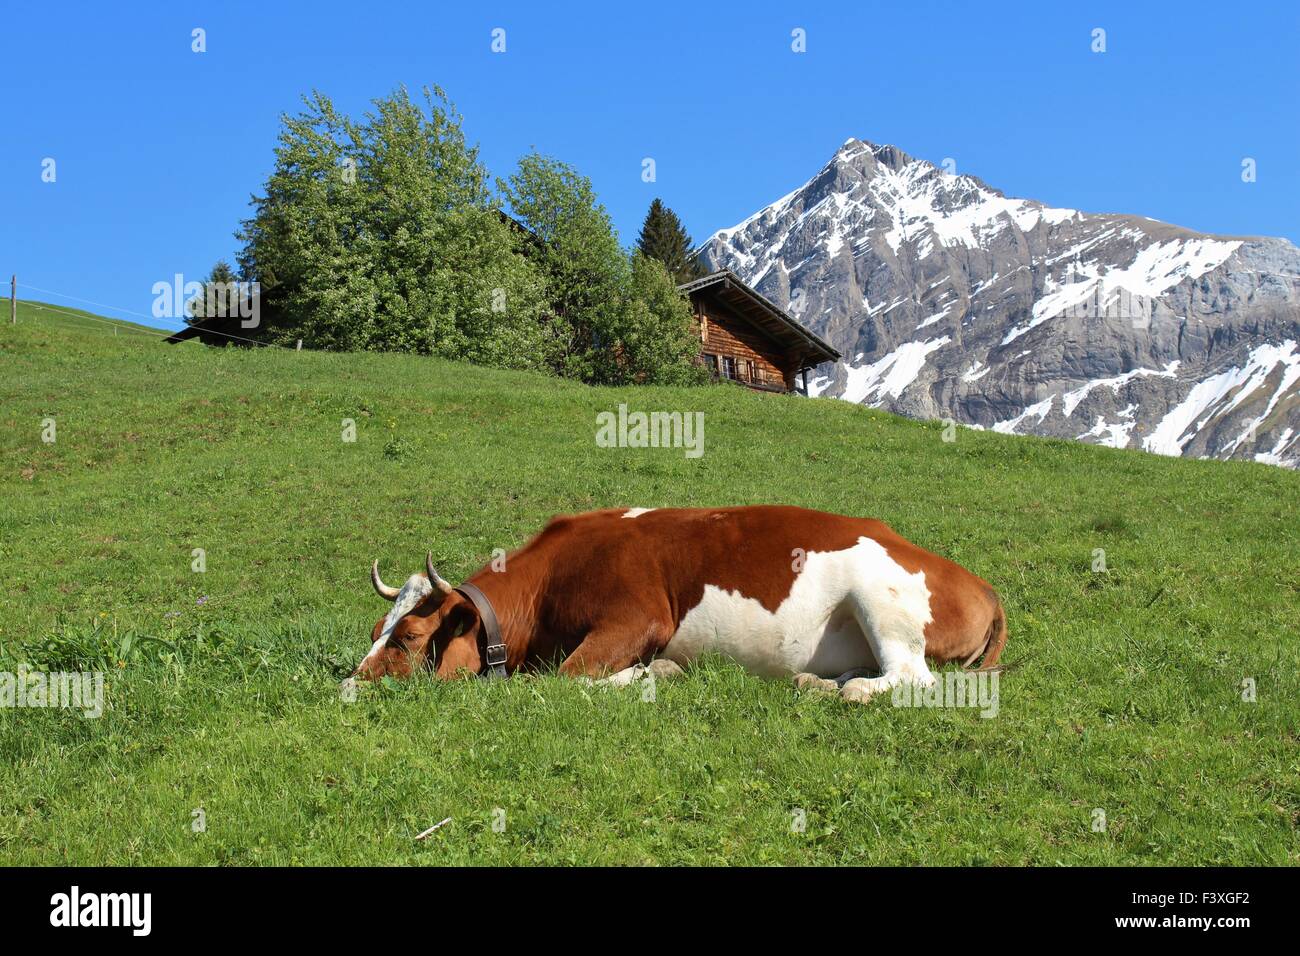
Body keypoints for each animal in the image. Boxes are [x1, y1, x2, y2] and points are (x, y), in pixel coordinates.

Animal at [353, 505, 1007, 704]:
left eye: (408, 638)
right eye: (377, 628)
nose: (348, 685)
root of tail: (982, 585)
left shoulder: (638, 615)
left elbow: (567, 677)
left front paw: (651, 673)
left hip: (881, 599)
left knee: (911, 676)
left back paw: (854, 690)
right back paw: (818, 682)